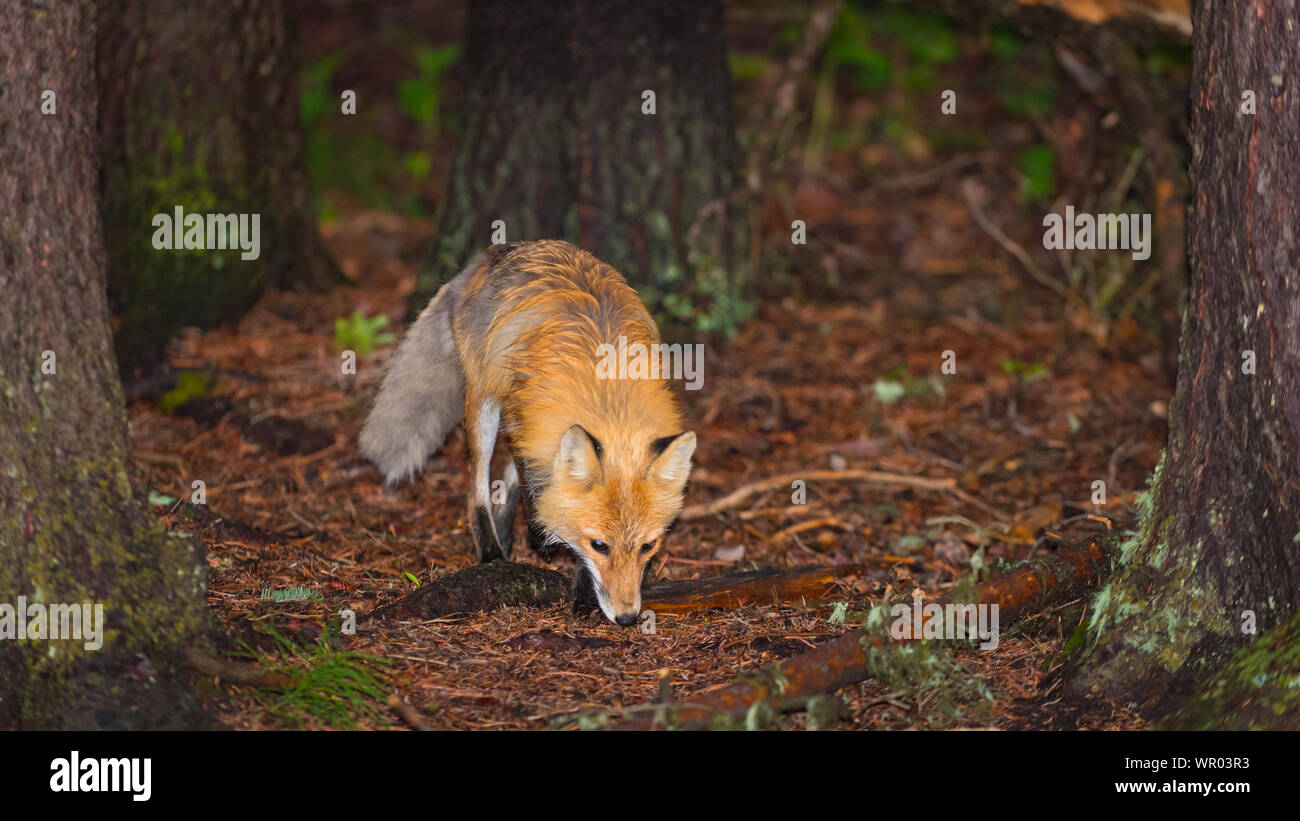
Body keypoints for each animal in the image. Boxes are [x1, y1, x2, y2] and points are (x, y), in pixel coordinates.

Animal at [360, 240, 696, 626]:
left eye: (647, 546)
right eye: (599, 545)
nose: (626, 618)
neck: (609, 397)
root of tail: (493, 254)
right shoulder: (526, 417)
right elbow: (534, 485)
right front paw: (544, 540)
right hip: (485, 402)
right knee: (479, 483)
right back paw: (493, 550)